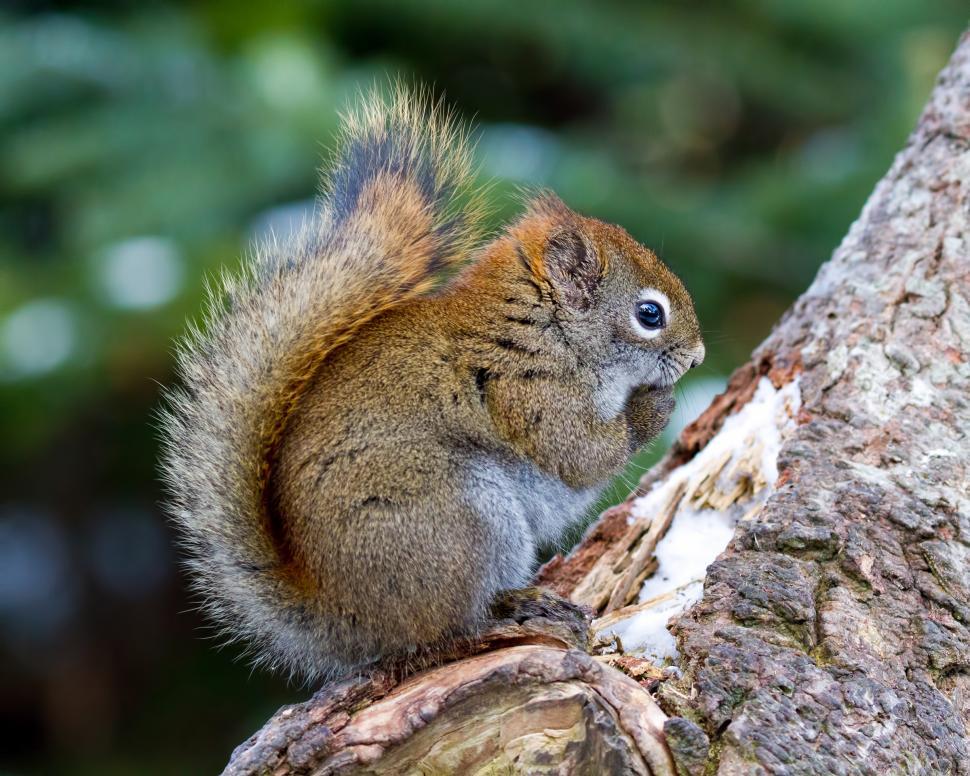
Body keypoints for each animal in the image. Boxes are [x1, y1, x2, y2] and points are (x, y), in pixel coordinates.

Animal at [160, 87, 704, 683]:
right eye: (649, 314)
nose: (698, 358)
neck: (547, 328)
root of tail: (345, 617)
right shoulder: (526, 389)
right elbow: (581, 454)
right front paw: (654, 406)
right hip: (463, 516)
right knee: (445, 629)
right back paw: (508, 610)